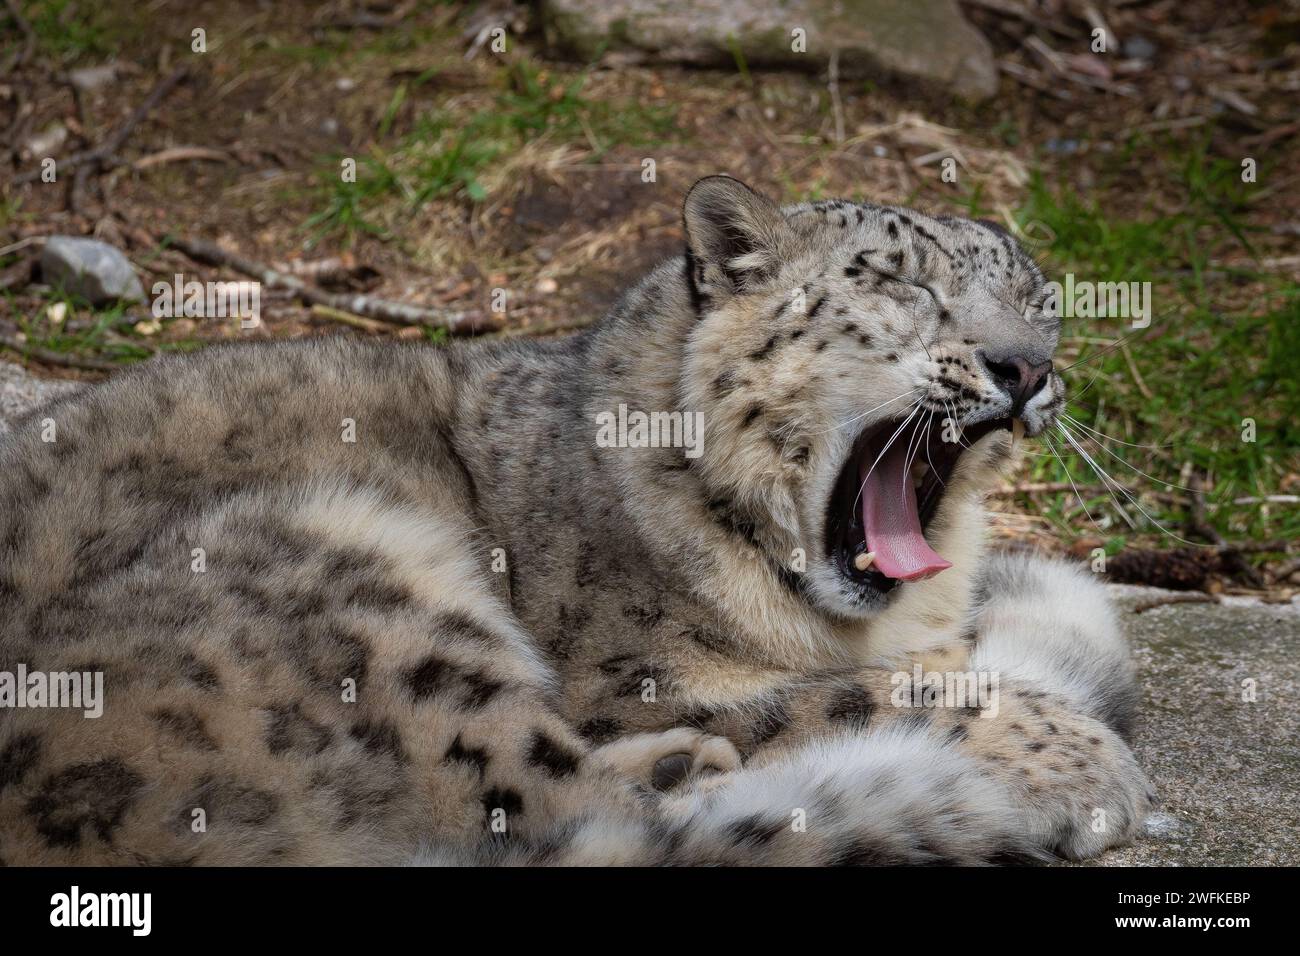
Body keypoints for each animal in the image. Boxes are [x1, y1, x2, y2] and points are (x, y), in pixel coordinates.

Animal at [0, 175, 1153, 866]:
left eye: (1039, 299)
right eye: (897, 282)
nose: (1025, 367)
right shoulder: (628, 680)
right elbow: (858, 690)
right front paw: (1081, 758)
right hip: (349, 567)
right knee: (542, 800)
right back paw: (691, 767)